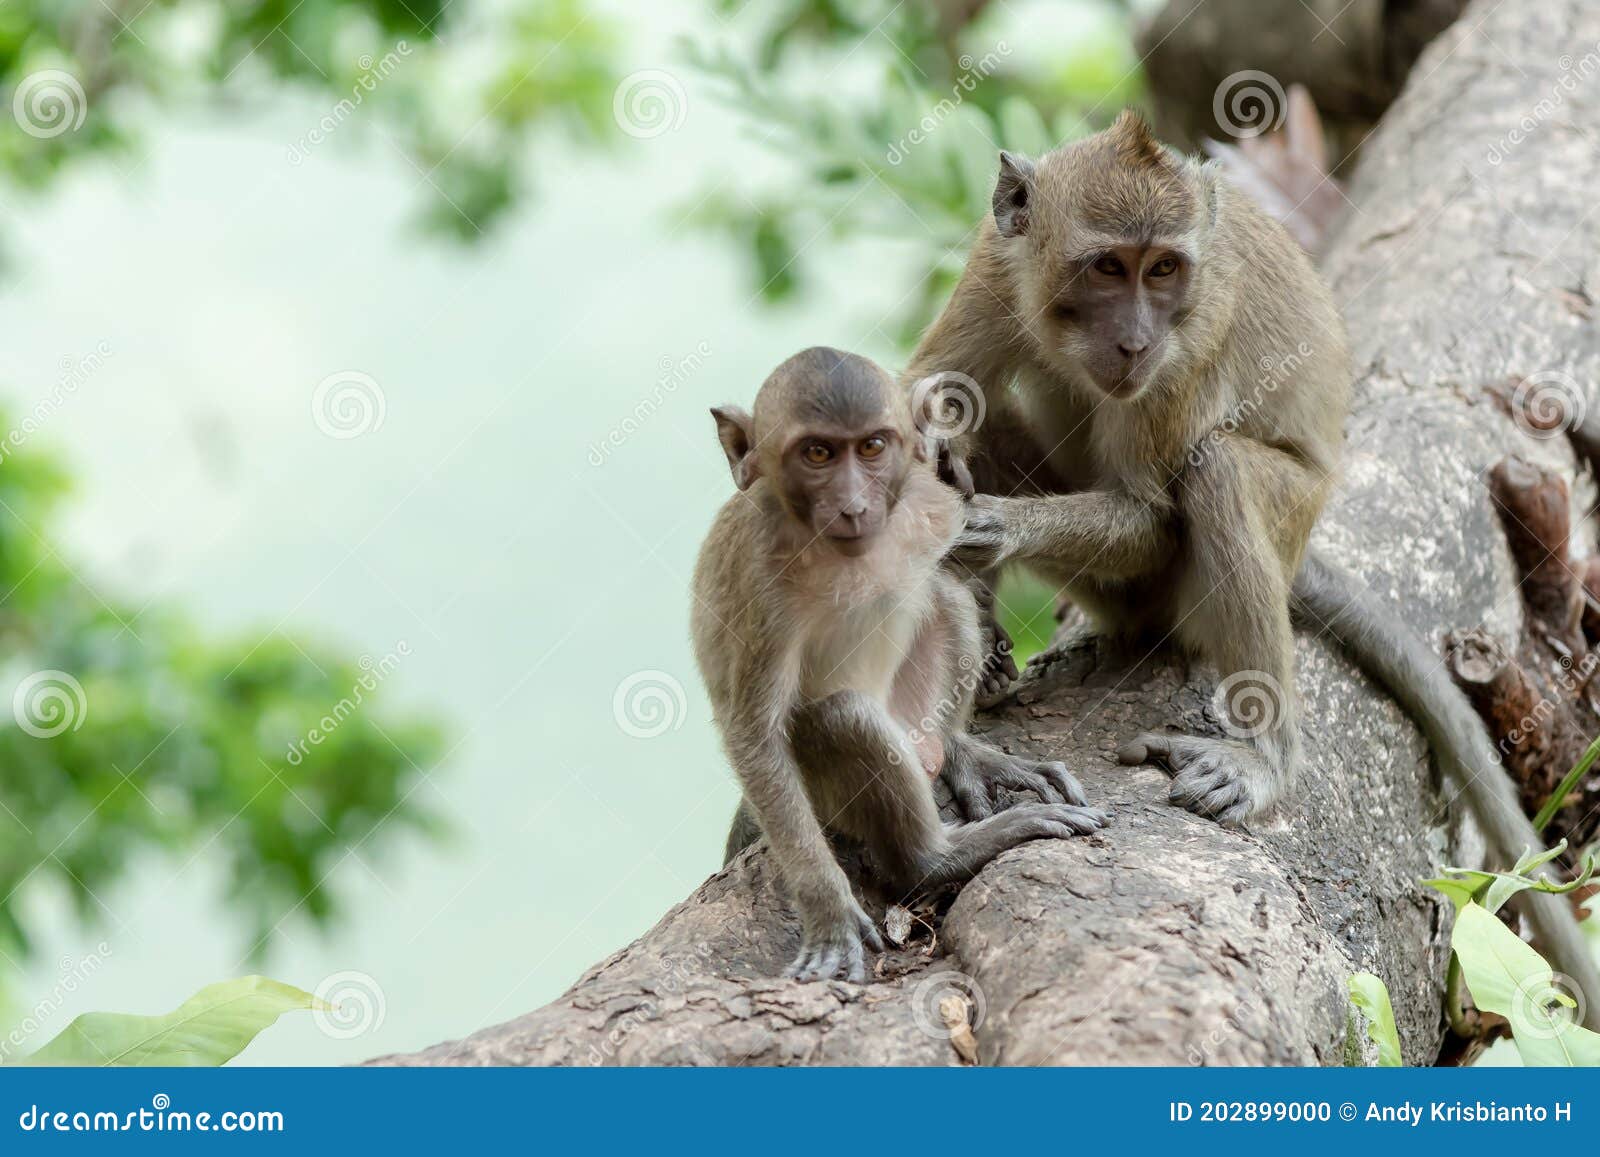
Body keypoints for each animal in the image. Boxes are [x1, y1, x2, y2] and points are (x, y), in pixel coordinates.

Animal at [692, 346, 1107, 983]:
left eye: (871, 447)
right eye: (817, 453)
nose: (853, 503)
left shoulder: (924, 505)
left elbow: (951, 568)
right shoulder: (758, 581)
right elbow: (755, 735)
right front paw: (829, 912)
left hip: (913, 720)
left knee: (943, 598)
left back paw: (960, 753)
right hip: (829, 794)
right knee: (842, 719)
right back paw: (935, 859)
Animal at [901, 109, 1600, 1013]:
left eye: (1163, 269)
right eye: (1107, 266)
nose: (1136, 340)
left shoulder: (1188, 342)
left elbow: (1154, 516)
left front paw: (993, 525)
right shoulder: (996, 262)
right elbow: (924, 396)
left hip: (1234, 545)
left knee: (1217, 471)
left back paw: (1266, 759)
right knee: (968, 413)